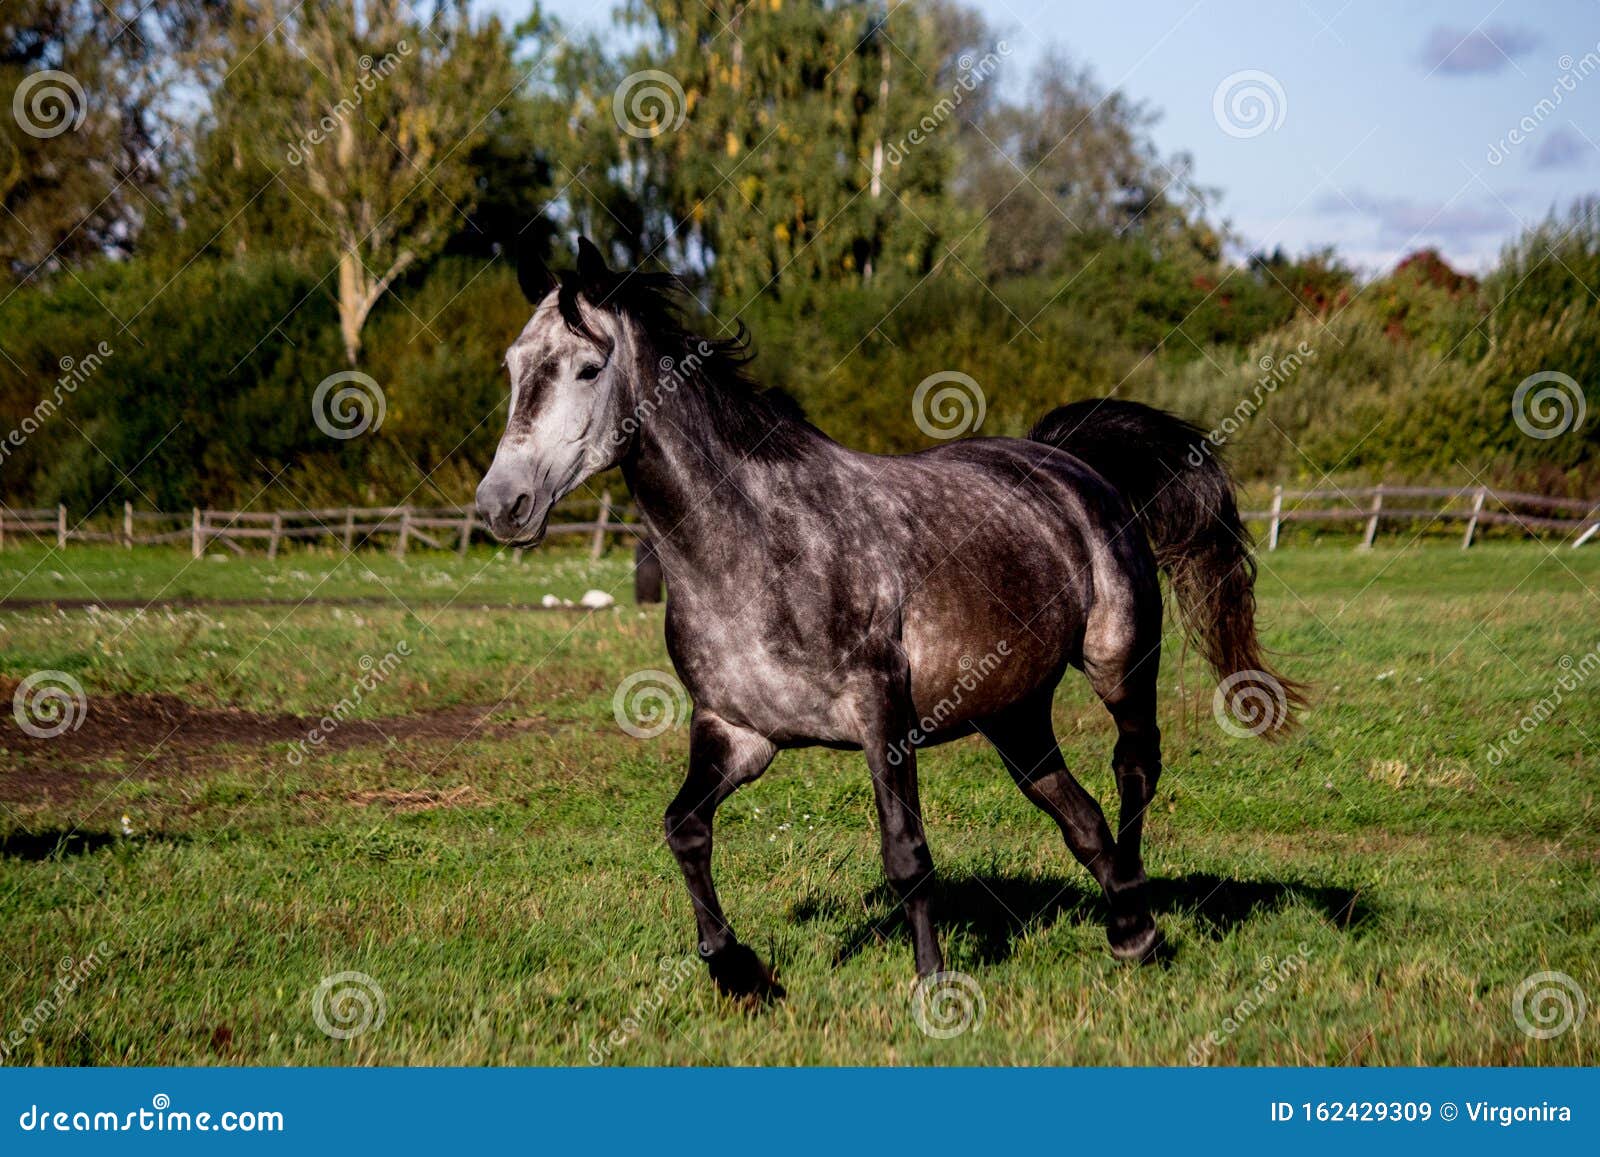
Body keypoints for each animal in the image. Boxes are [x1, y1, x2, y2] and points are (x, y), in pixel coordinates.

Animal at [476, 239, 1302, 999]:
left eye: (588, 368)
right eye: (514, 367)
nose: (501, 505)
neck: (759, 547)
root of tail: (1069, 465)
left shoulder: (885, 717)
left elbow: (906, 853)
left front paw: (933, 986)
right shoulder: (737, 731)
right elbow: (685, 828)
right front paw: (741, 971)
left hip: (1119, 662)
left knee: (1133, 770)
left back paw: (1135, 925)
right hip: (1014, 712)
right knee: (1079, 814)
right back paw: (1131, 927)